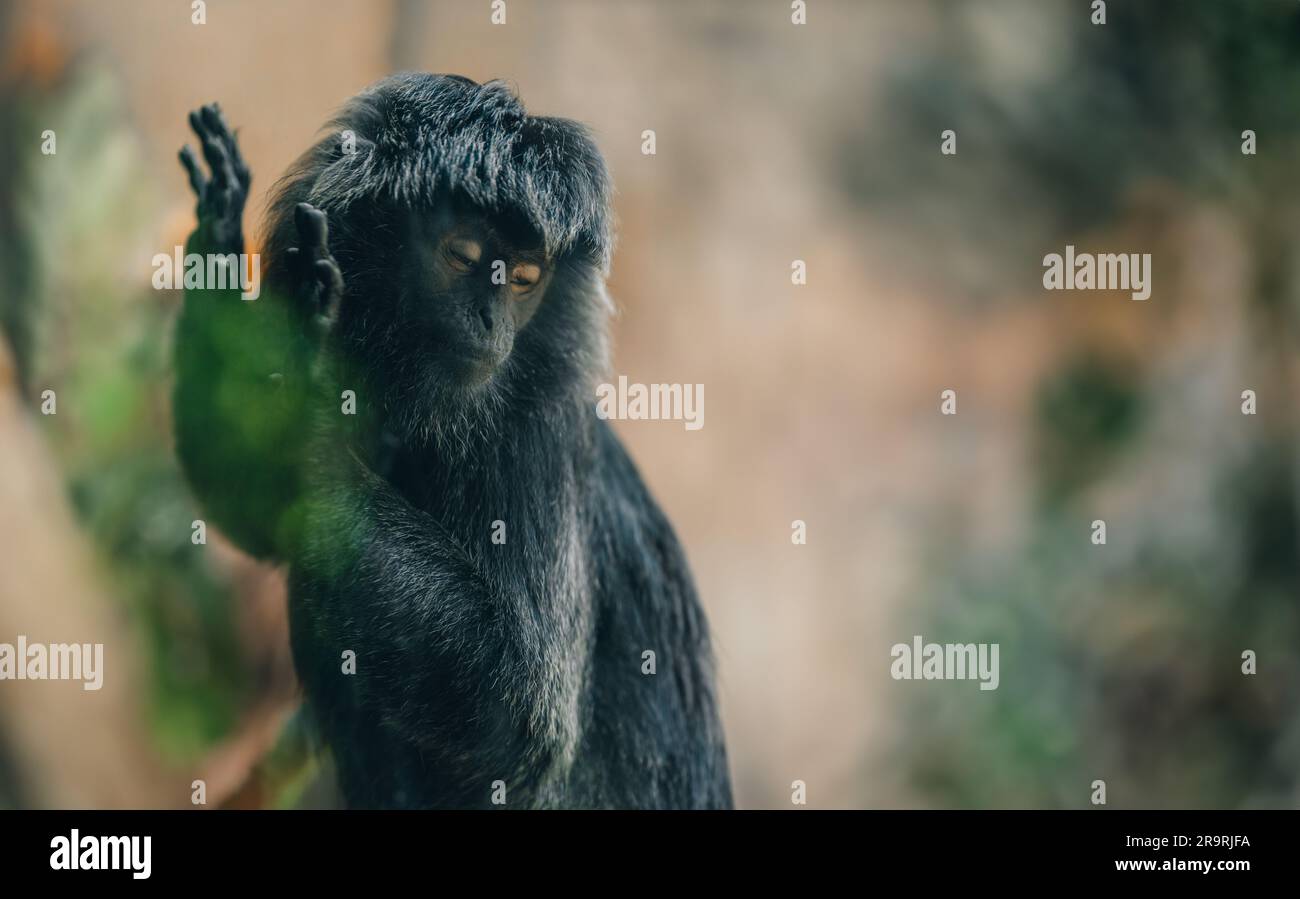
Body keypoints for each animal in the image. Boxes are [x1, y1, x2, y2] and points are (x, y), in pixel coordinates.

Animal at [173, 74, 732, 809]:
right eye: (464, 255)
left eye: (523, 278)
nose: (491, 319)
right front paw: (215, 250)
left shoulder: (538, 422)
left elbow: (526, 710)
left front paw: (304, 421)